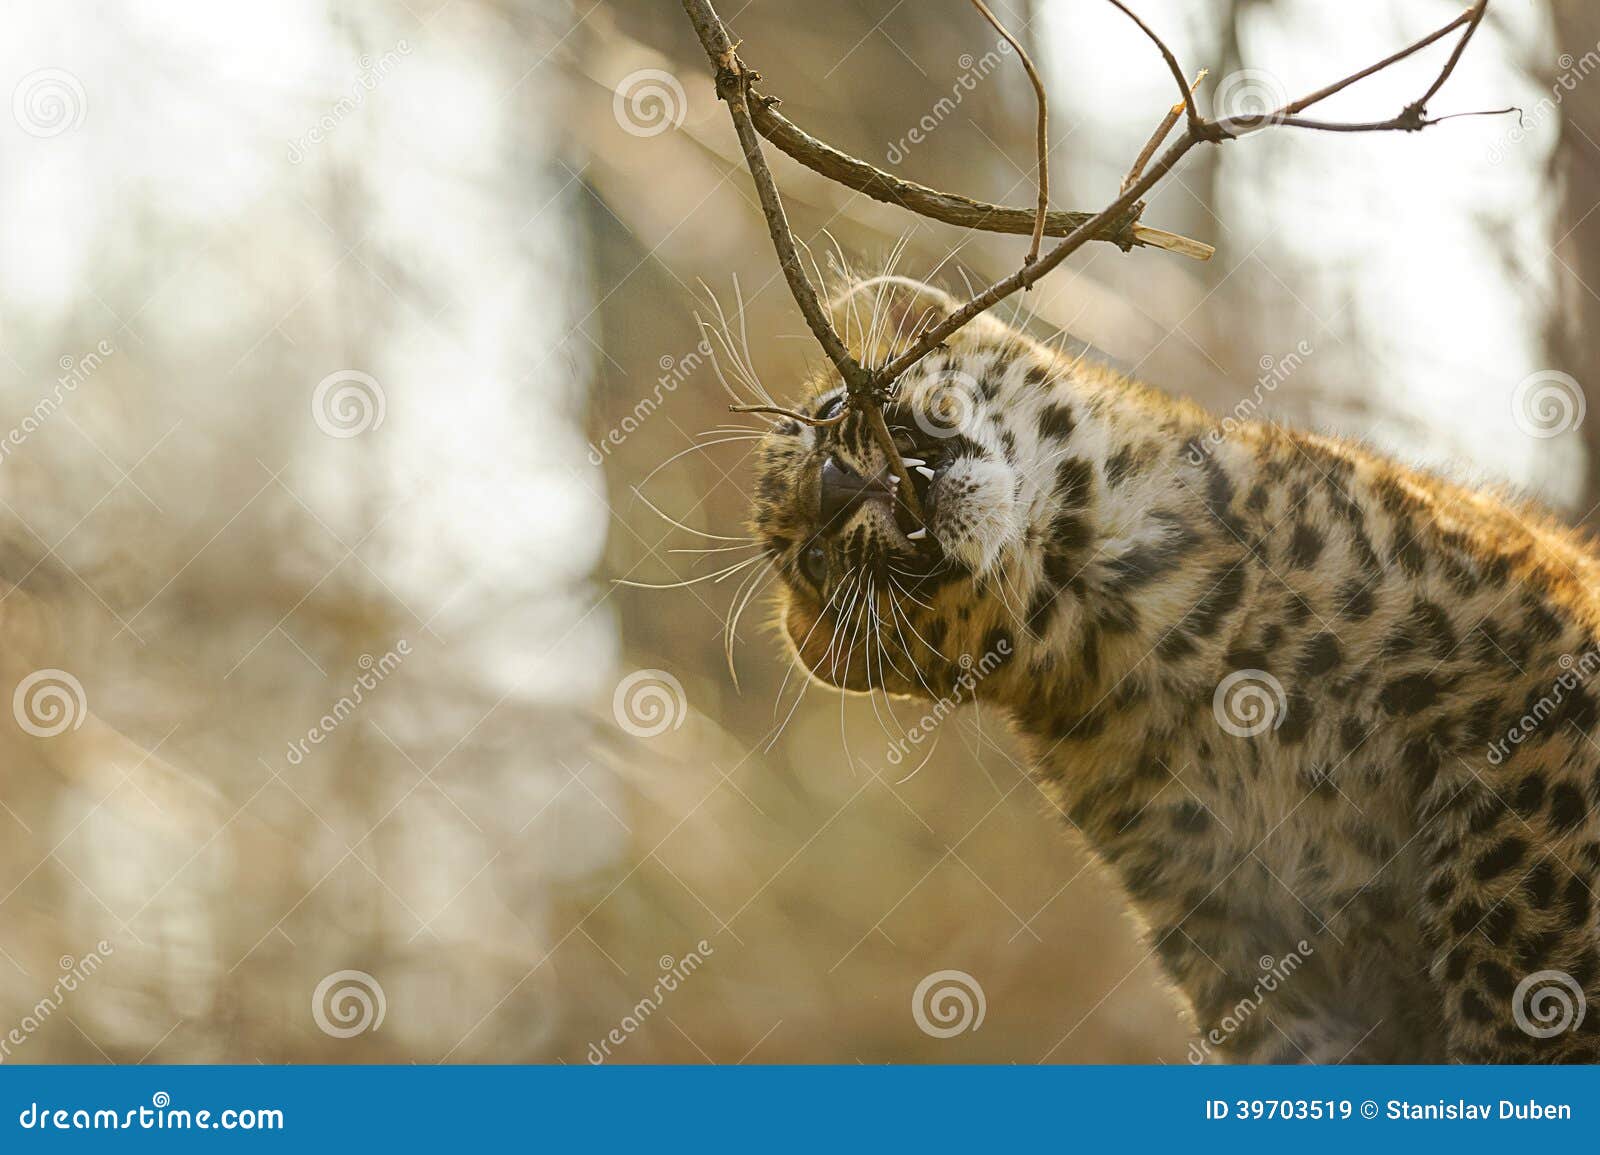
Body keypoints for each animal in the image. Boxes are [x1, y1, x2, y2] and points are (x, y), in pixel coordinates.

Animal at [743, 275, 1600, 1063]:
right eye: (813, 559)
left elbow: (1513, 908)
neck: (1135, 611)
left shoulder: (1541, 693)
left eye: (830, 407)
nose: (831, 489)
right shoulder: (1243, 948)